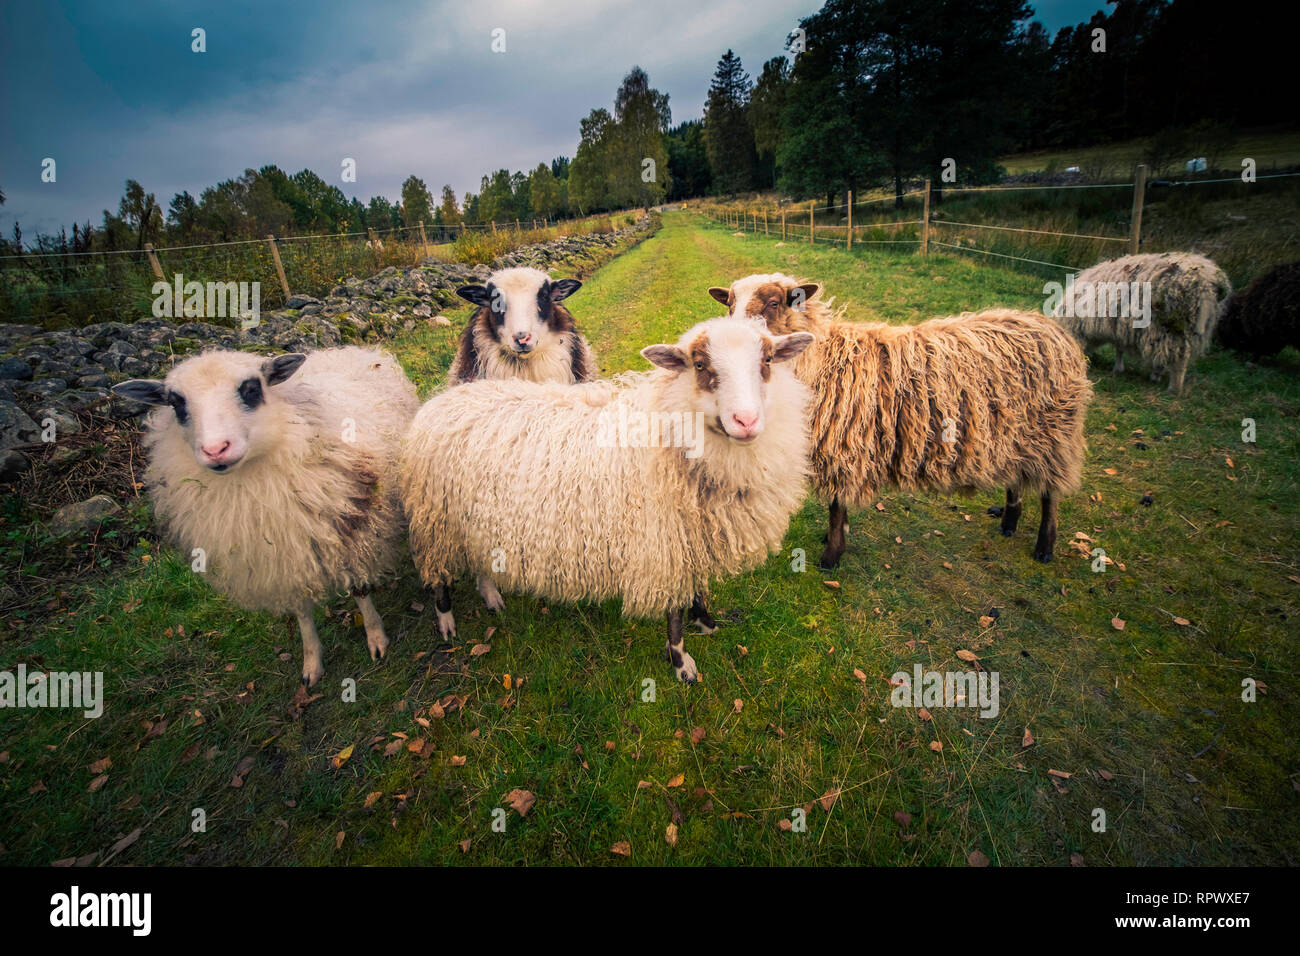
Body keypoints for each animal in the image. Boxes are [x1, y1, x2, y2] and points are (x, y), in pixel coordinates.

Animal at [112, 347, 419, 687]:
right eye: (176, 402)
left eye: (251, 388)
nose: (216, 450)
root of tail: (344, 349)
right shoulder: (280, 559)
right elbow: (301, 612)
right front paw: (311, 663)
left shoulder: (356, 534)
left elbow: (360, 590)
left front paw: (376, 638)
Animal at [400, 316, 815, 683]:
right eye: (699, 365)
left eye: (766, 361)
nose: (746, 421)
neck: (667, 431)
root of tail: (441, 400)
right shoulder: (663, 546)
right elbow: (675, 616)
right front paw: (681, 663)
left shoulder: (693, 540)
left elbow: (697, 590)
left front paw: (706, 621)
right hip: (436, 521)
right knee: (439, 577)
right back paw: (446, 621)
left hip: (474, 520)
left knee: (481, 560)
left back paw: (491, 597)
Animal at [709, 274, 1092, 570]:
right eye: (729, 304)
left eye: (774, 303)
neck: (822, 360)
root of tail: (1053, 329)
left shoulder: (844, 446)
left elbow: (835, 506)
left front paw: (831, 555)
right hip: (1016, 431)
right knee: (1016, 475)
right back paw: (1010, 523)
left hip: (1054, 433)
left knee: (1050, 493)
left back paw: (1044, 547)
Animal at [1047, 252, 1231, 393]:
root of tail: (1205, 286)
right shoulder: (1120, 326)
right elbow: (1120, 348)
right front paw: (1118, 368)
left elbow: (1119, 348)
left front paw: (1117, 368)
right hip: (1190, 327)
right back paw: (1159, 375)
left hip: (1171, 324)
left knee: (1179, 359)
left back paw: (1173, 387)